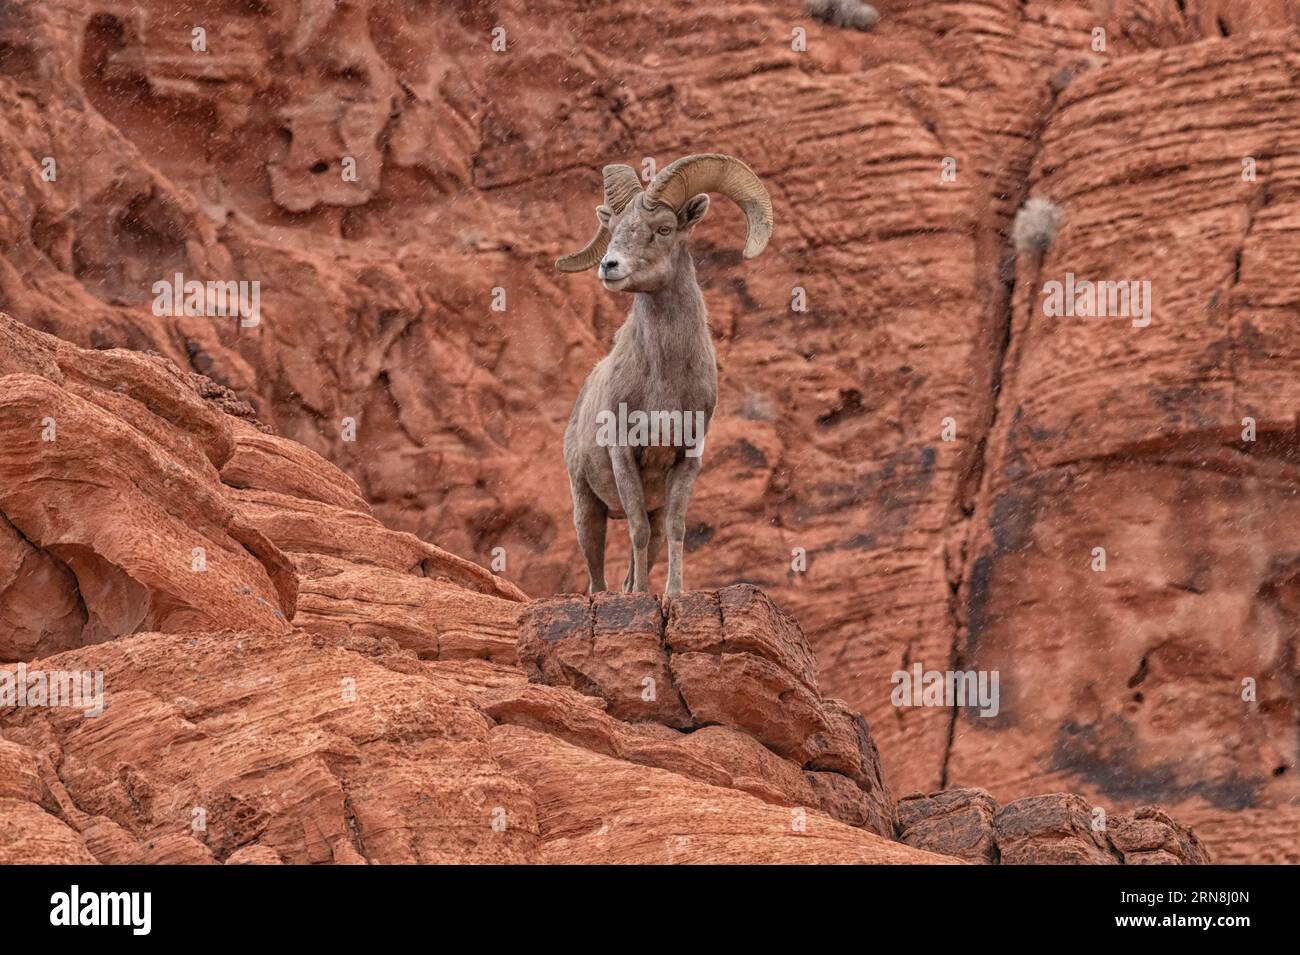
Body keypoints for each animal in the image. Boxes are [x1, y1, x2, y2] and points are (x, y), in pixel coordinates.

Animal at [555, 154, 774, 596]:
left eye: (664, 229)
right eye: (615, 230)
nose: (609, 266)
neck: (664, 388)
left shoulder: (686, 460)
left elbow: (675, 529)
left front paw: (673, 594)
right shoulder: (623, 454)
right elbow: (636, 530)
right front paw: (641, 597)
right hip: (587, 505)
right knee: (598, 573)